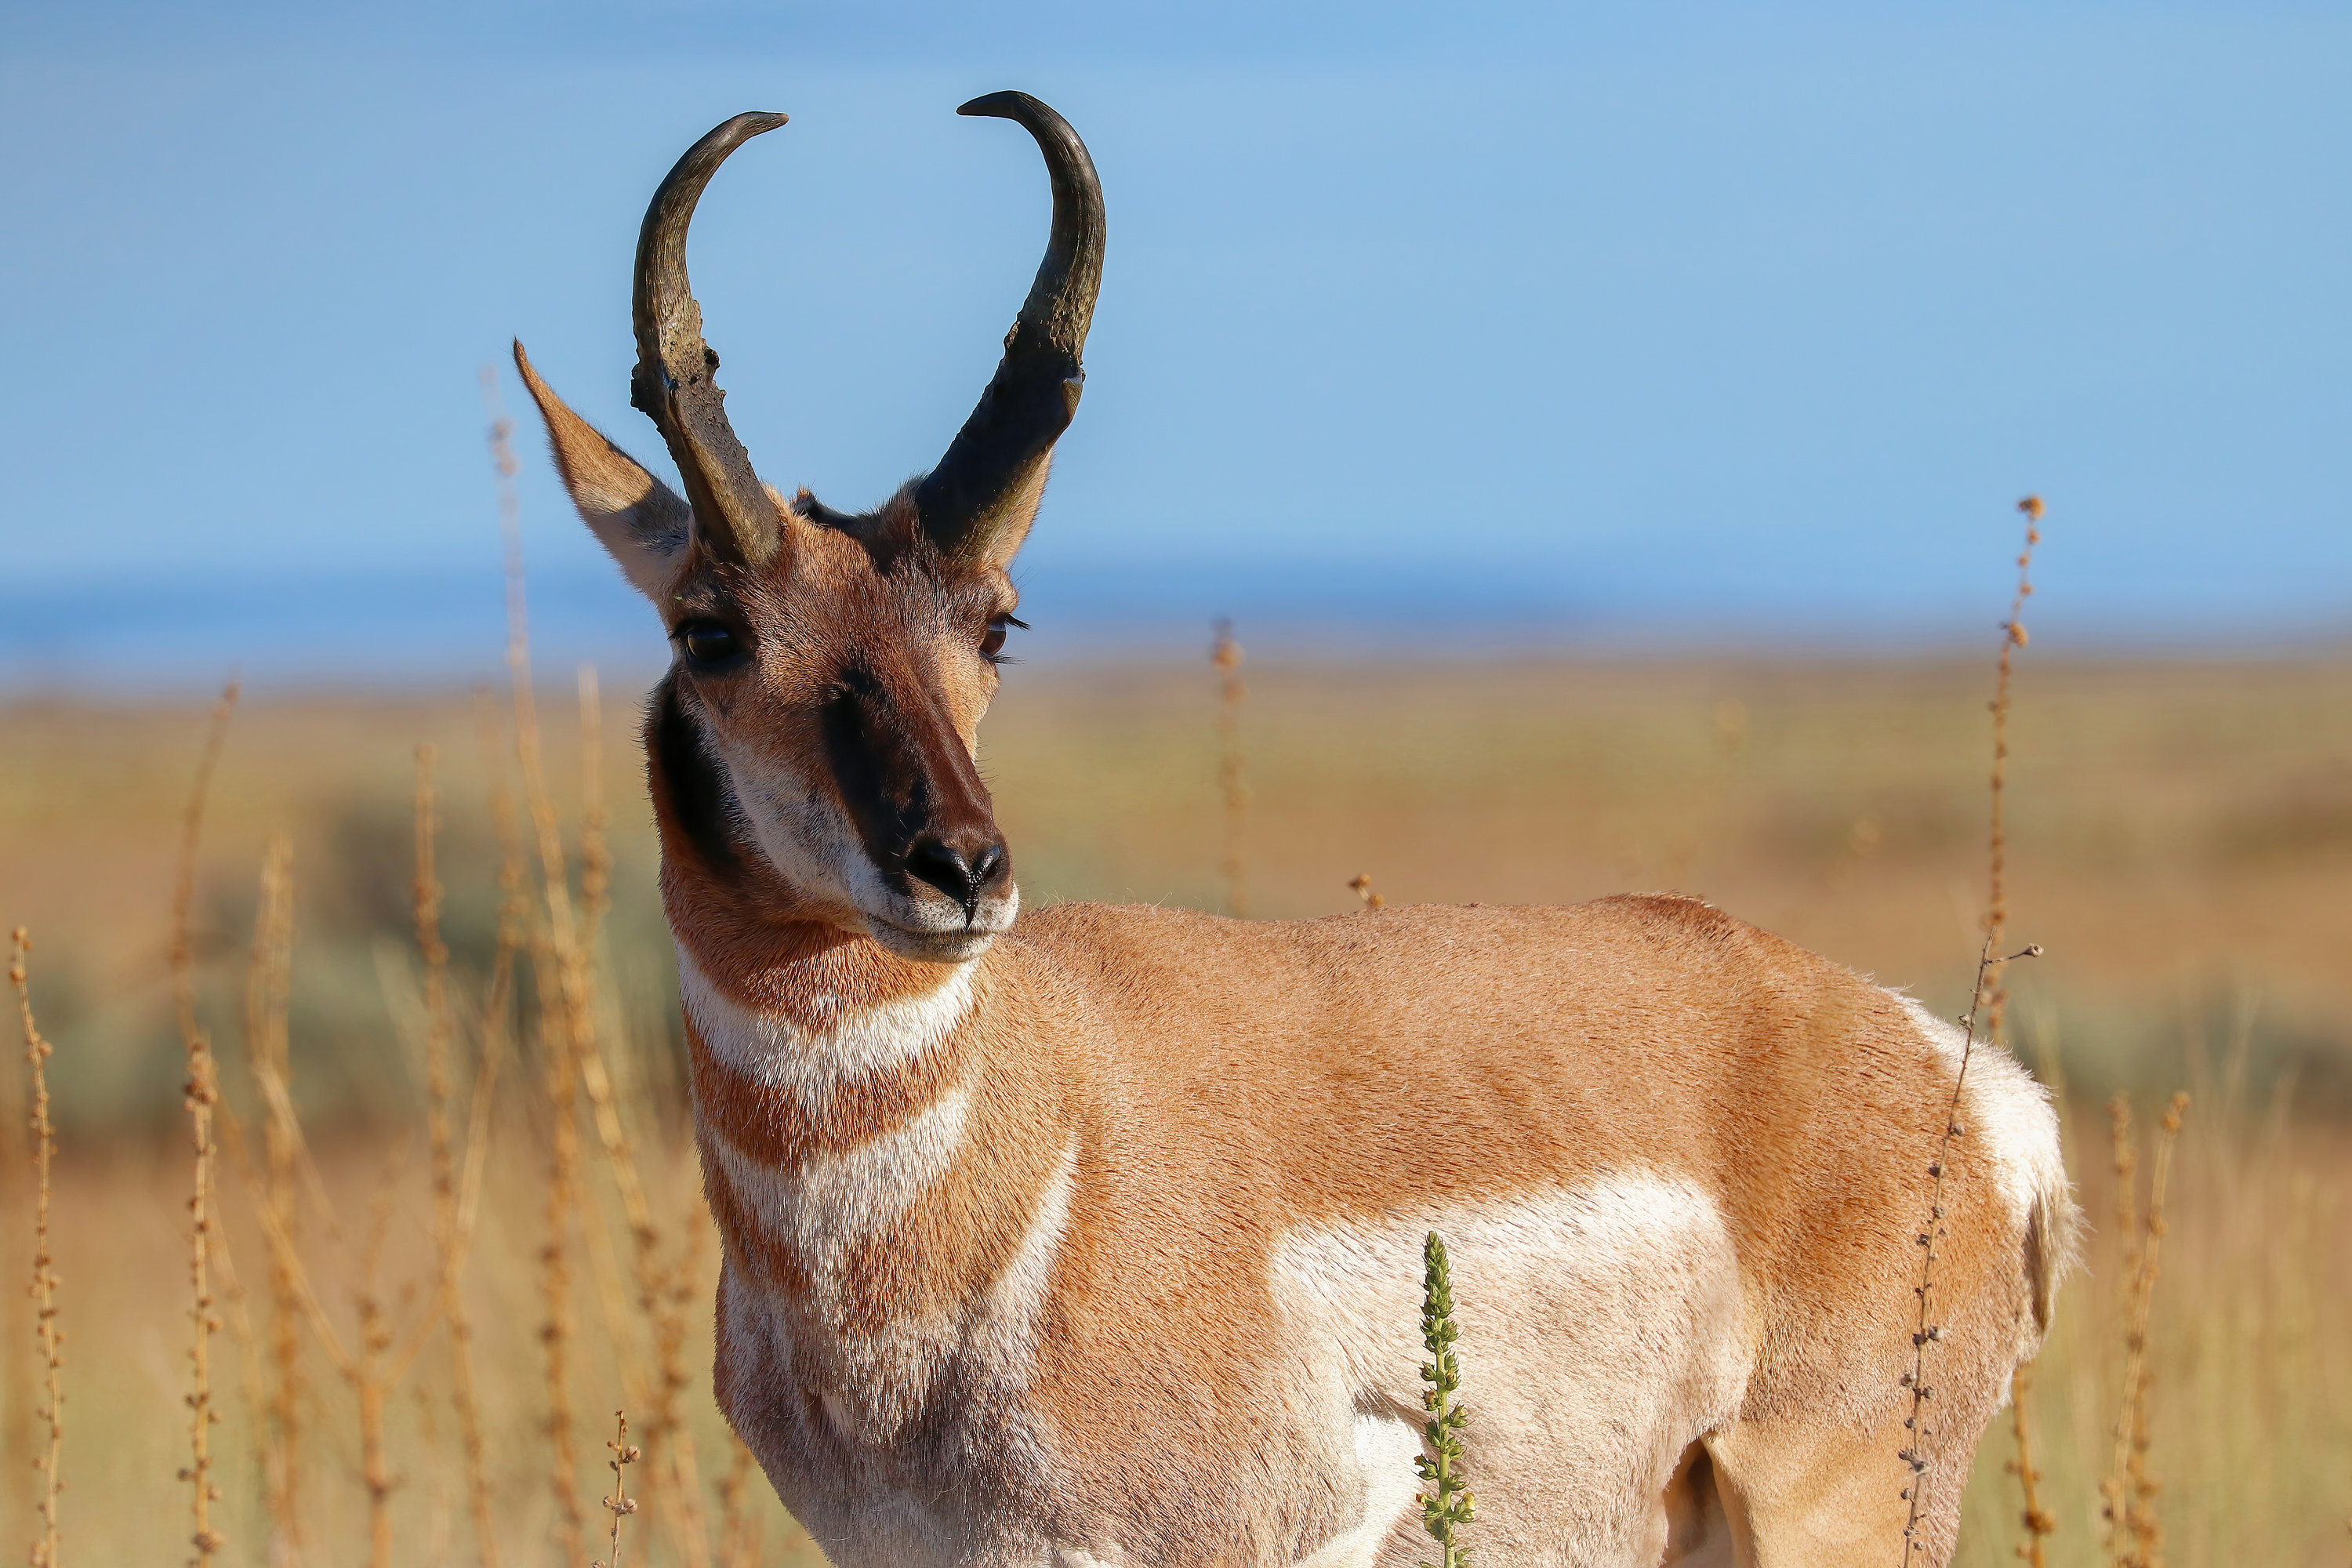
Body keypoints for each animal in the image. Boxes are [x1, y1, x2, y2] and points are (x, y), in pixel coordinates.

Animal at [516, 92, 2077, 1568]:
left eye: (995, 621)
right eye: (711, 630)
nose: (958, 871)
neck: (1031, 1142)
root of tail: (1958, 1079)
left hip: (1832, 1508)